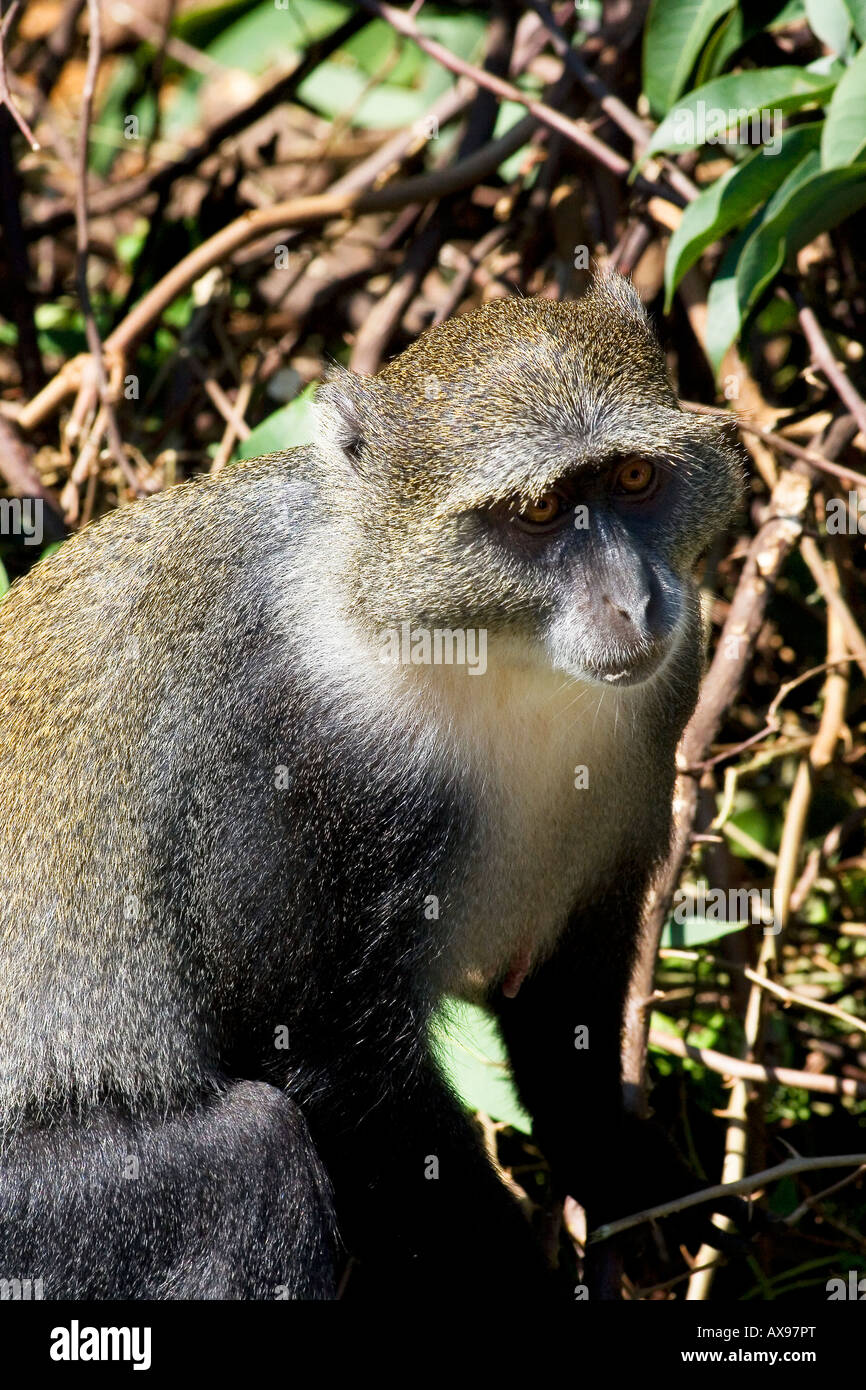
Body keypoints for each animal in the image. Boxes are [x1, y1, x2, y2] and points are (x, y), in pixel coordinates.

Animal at [0, 275, 743, 1300]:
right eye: (543, 511)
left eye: (632, 481)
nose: (635, 603)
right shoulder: (292, 757)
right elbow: (331, 1065)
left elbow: (561, 1001)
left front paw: (640, 1186)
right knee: (252, 1158)